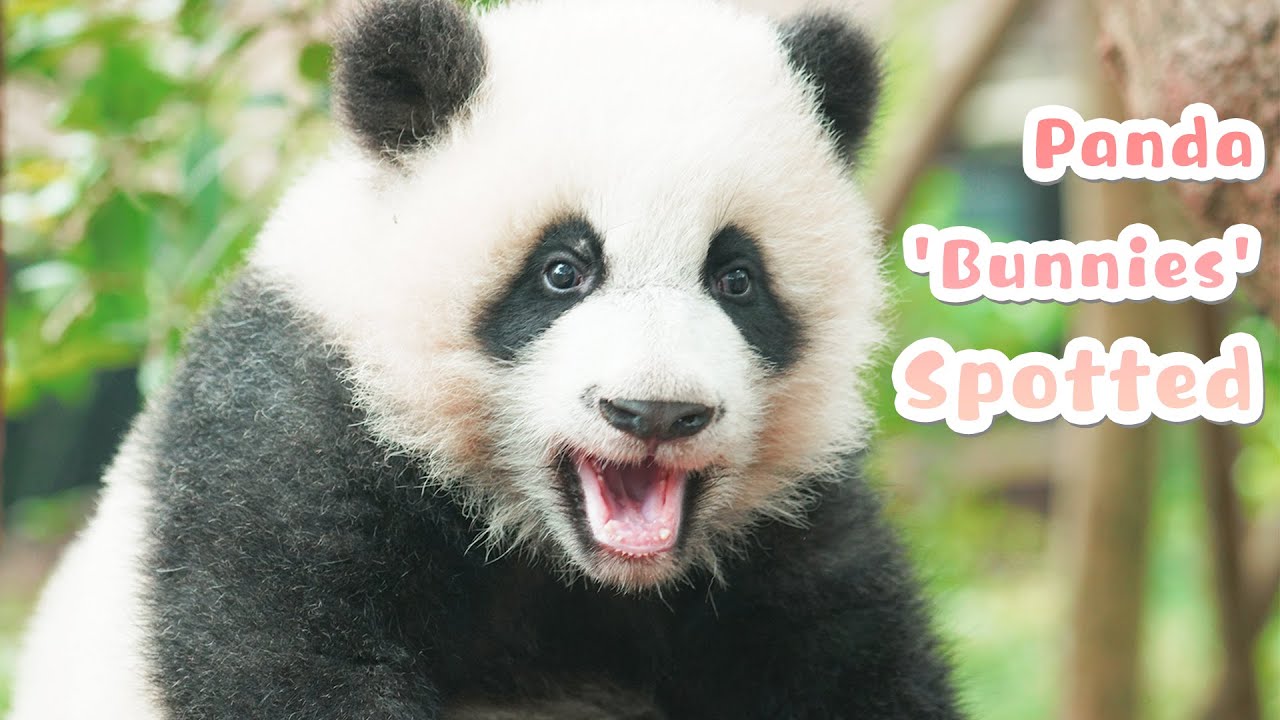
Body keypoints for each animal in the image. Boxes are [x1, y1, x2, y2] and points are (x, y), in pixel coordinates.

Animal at [10, 0, 962, 718]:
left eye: (736, 278)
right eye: (562, 271)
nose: (656, 413)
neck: (567, 563)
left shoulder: (792, 524)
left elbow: (851, 663)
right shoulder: (290, 438)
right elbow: (288, 656)